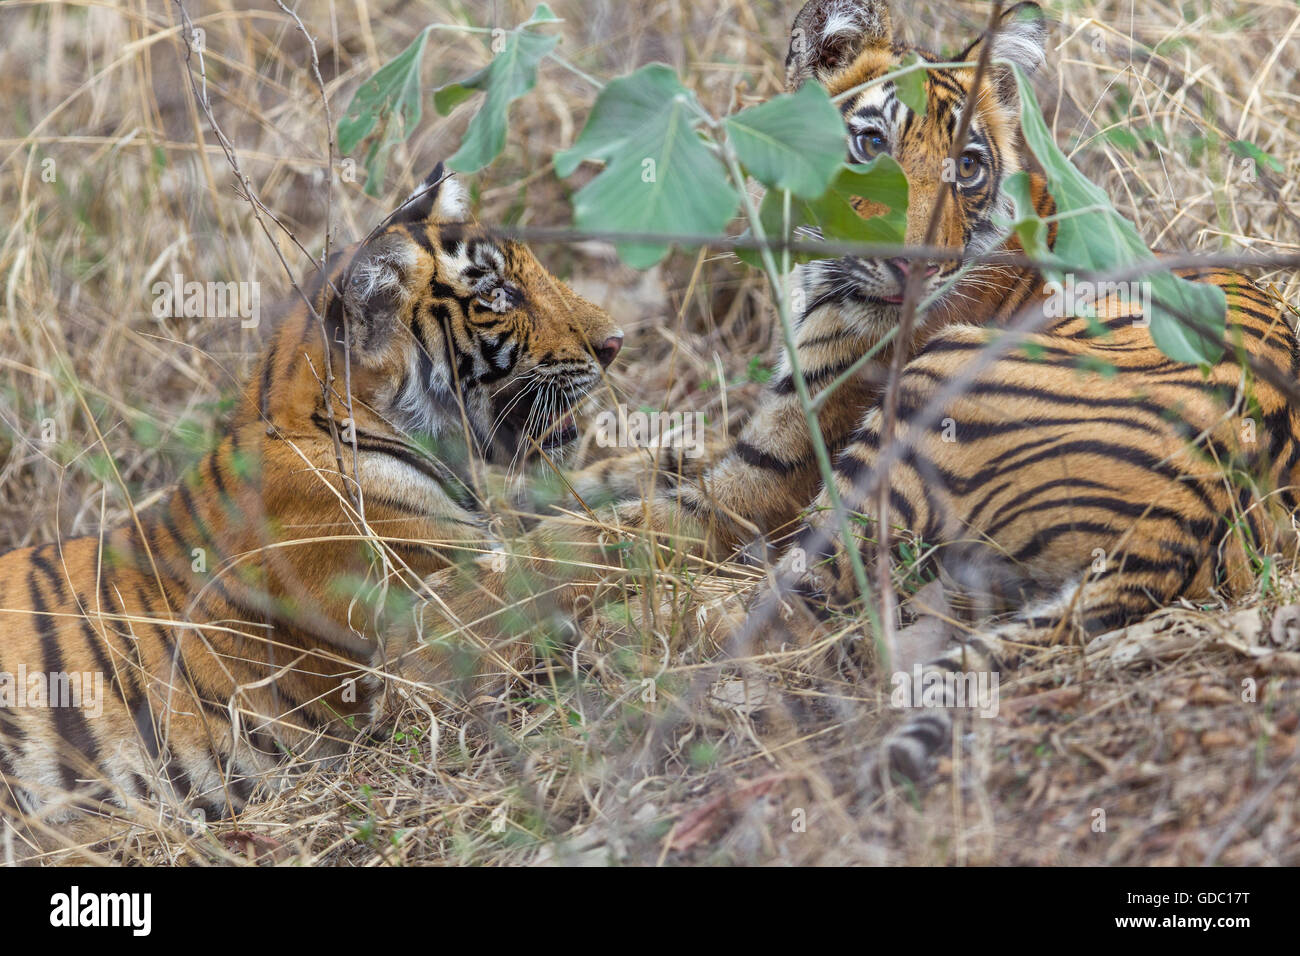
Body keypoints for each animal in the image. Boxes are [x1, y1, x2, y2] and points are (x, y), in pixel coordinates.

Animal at [419, 0, 1300, 782]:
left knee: (795, 605)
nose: (916, 267)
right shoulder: (744, 440)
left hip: (922, 410)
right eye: (871, 145)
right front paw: (494, 502)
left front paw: (454, 610)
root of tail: (1191, 508)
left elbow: (589, 538)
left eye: (968, 167)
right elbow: (610, 475)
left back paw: (621, 642)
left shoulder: (760, 479)